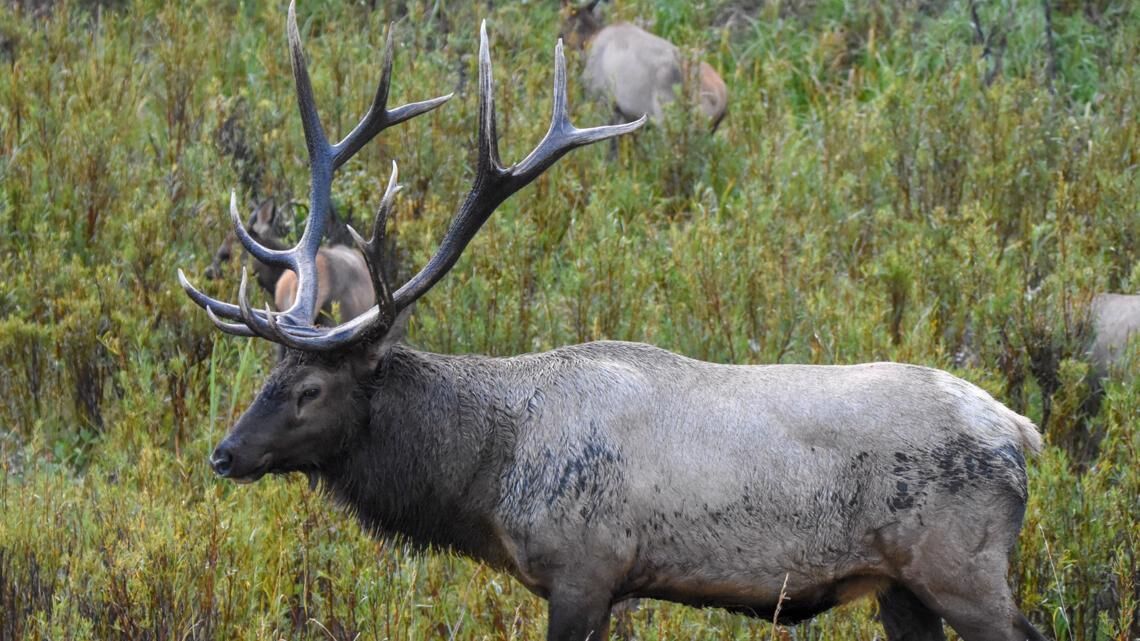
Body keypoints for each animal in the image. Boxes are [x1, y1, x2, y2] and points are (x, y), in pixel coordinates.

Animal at [560, 0, 728, 133]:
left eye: (561, 22)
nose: (558, 36)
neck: (588, 42)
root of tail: (722, 97)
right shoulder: (628, 114)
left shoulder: (603, 100)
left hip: (672, 122)